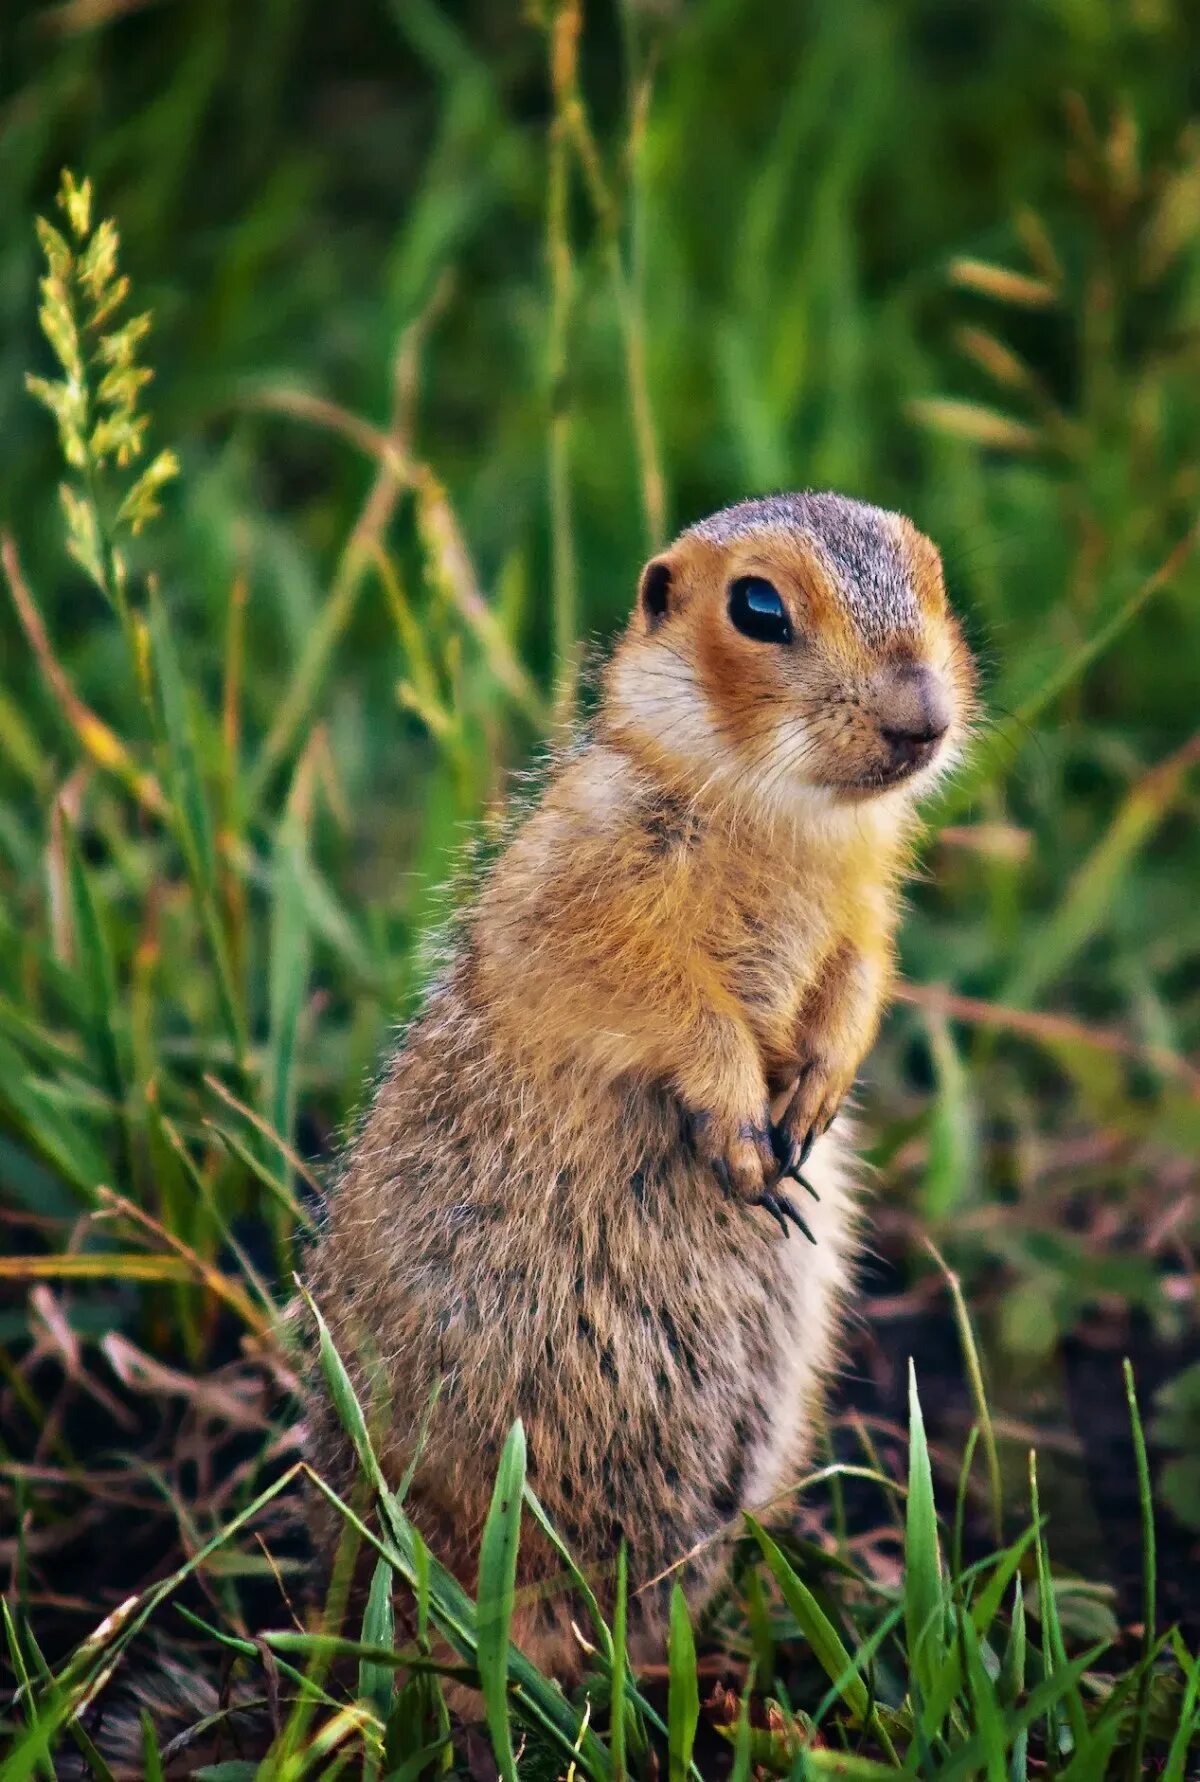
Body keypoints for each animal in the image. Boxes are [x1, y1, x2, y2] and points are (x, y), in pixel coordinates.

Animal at [301, 491, 969, 1682]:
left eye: (935, 578)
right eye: (758, 608)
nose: (922, 719)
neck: (788, 814)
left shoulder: (865, 903)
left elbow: (860, 973)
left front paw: (816, 1093)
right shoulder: (593, 877)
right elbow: (654, 993)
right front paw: (743, 1126)